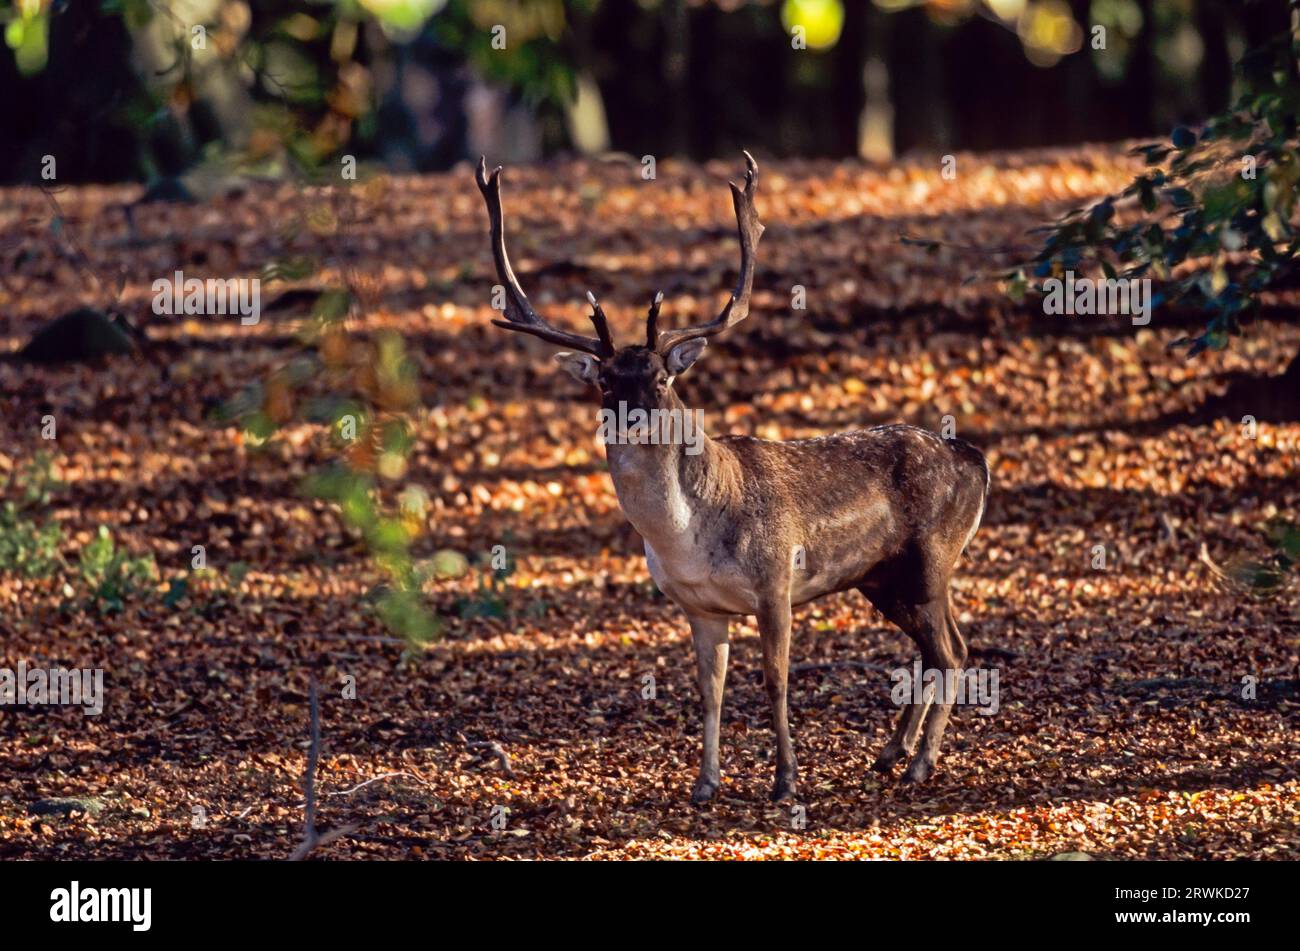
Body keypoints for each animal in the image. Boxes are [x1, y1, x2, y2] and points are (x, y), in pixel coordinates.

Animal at [474, 152, 990, 803]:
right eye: (605, 382)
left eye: (661, 379)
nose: (635, 417)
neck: (687, 537)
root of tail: (975, 460)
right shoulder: (698, 606)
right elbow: (710, 691)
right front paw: (705, 783)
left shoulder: (775, 580)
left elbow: (775, 680)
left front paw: (786, 780)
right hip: (882, 578)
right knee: (936, 647)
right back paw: (889, 753)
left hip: (931, 559)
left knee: (951, 651)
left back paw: (920, 763)